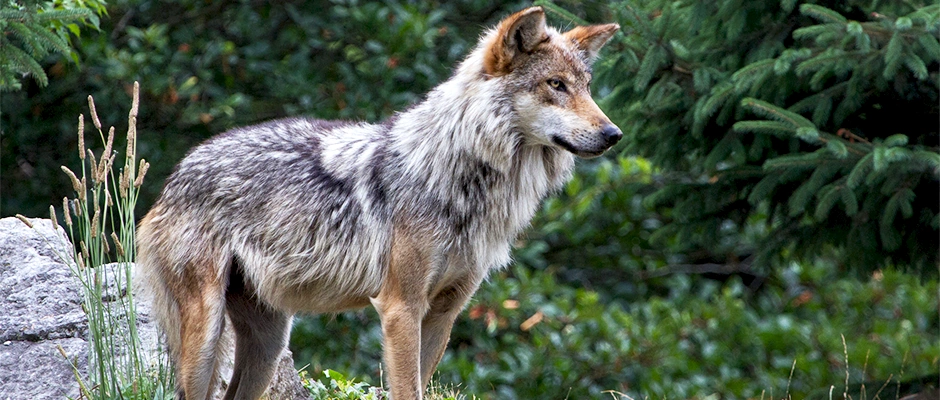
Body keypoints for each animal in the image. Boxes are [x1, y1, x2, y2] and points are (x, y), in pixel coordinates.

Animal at [137, 6, 621, 400]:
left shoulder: (444, 313)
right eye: (555, 85)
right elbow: (407, 389)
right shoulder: (400, 307)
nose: (613, 133)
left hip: (269, 347)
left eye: (587, 88)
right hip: (206, 335)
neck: (462, 179)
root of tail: (176, 174)